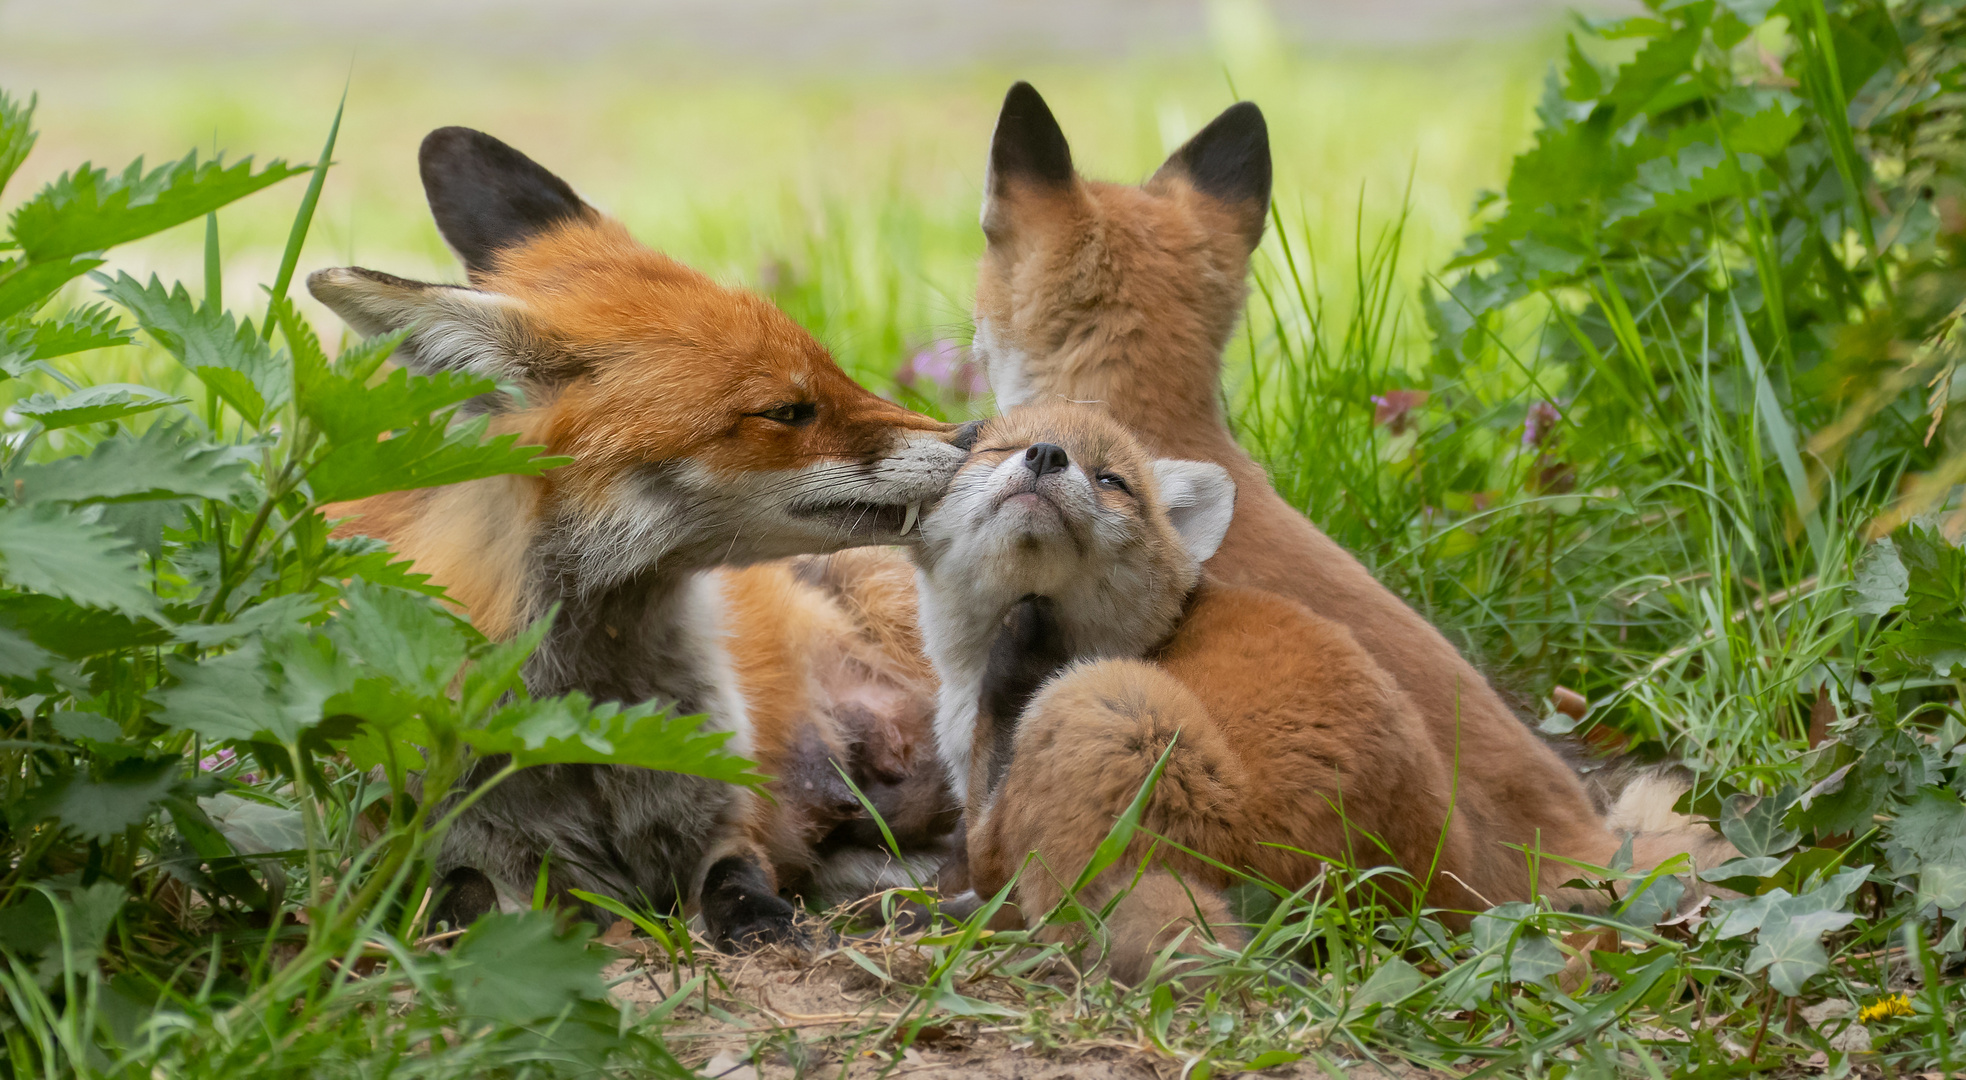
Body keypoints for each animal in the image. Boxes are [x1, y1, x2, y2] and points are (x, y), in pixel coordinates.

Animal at [306, 128, 967, 952]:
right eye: (787, 411)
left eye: (836, 371)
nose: (974, 437)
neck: (595, 719)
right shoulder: (462, 844)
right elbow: (461, 909)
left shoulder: (727, 819)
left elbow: (742, 894)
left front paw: (781, 932)